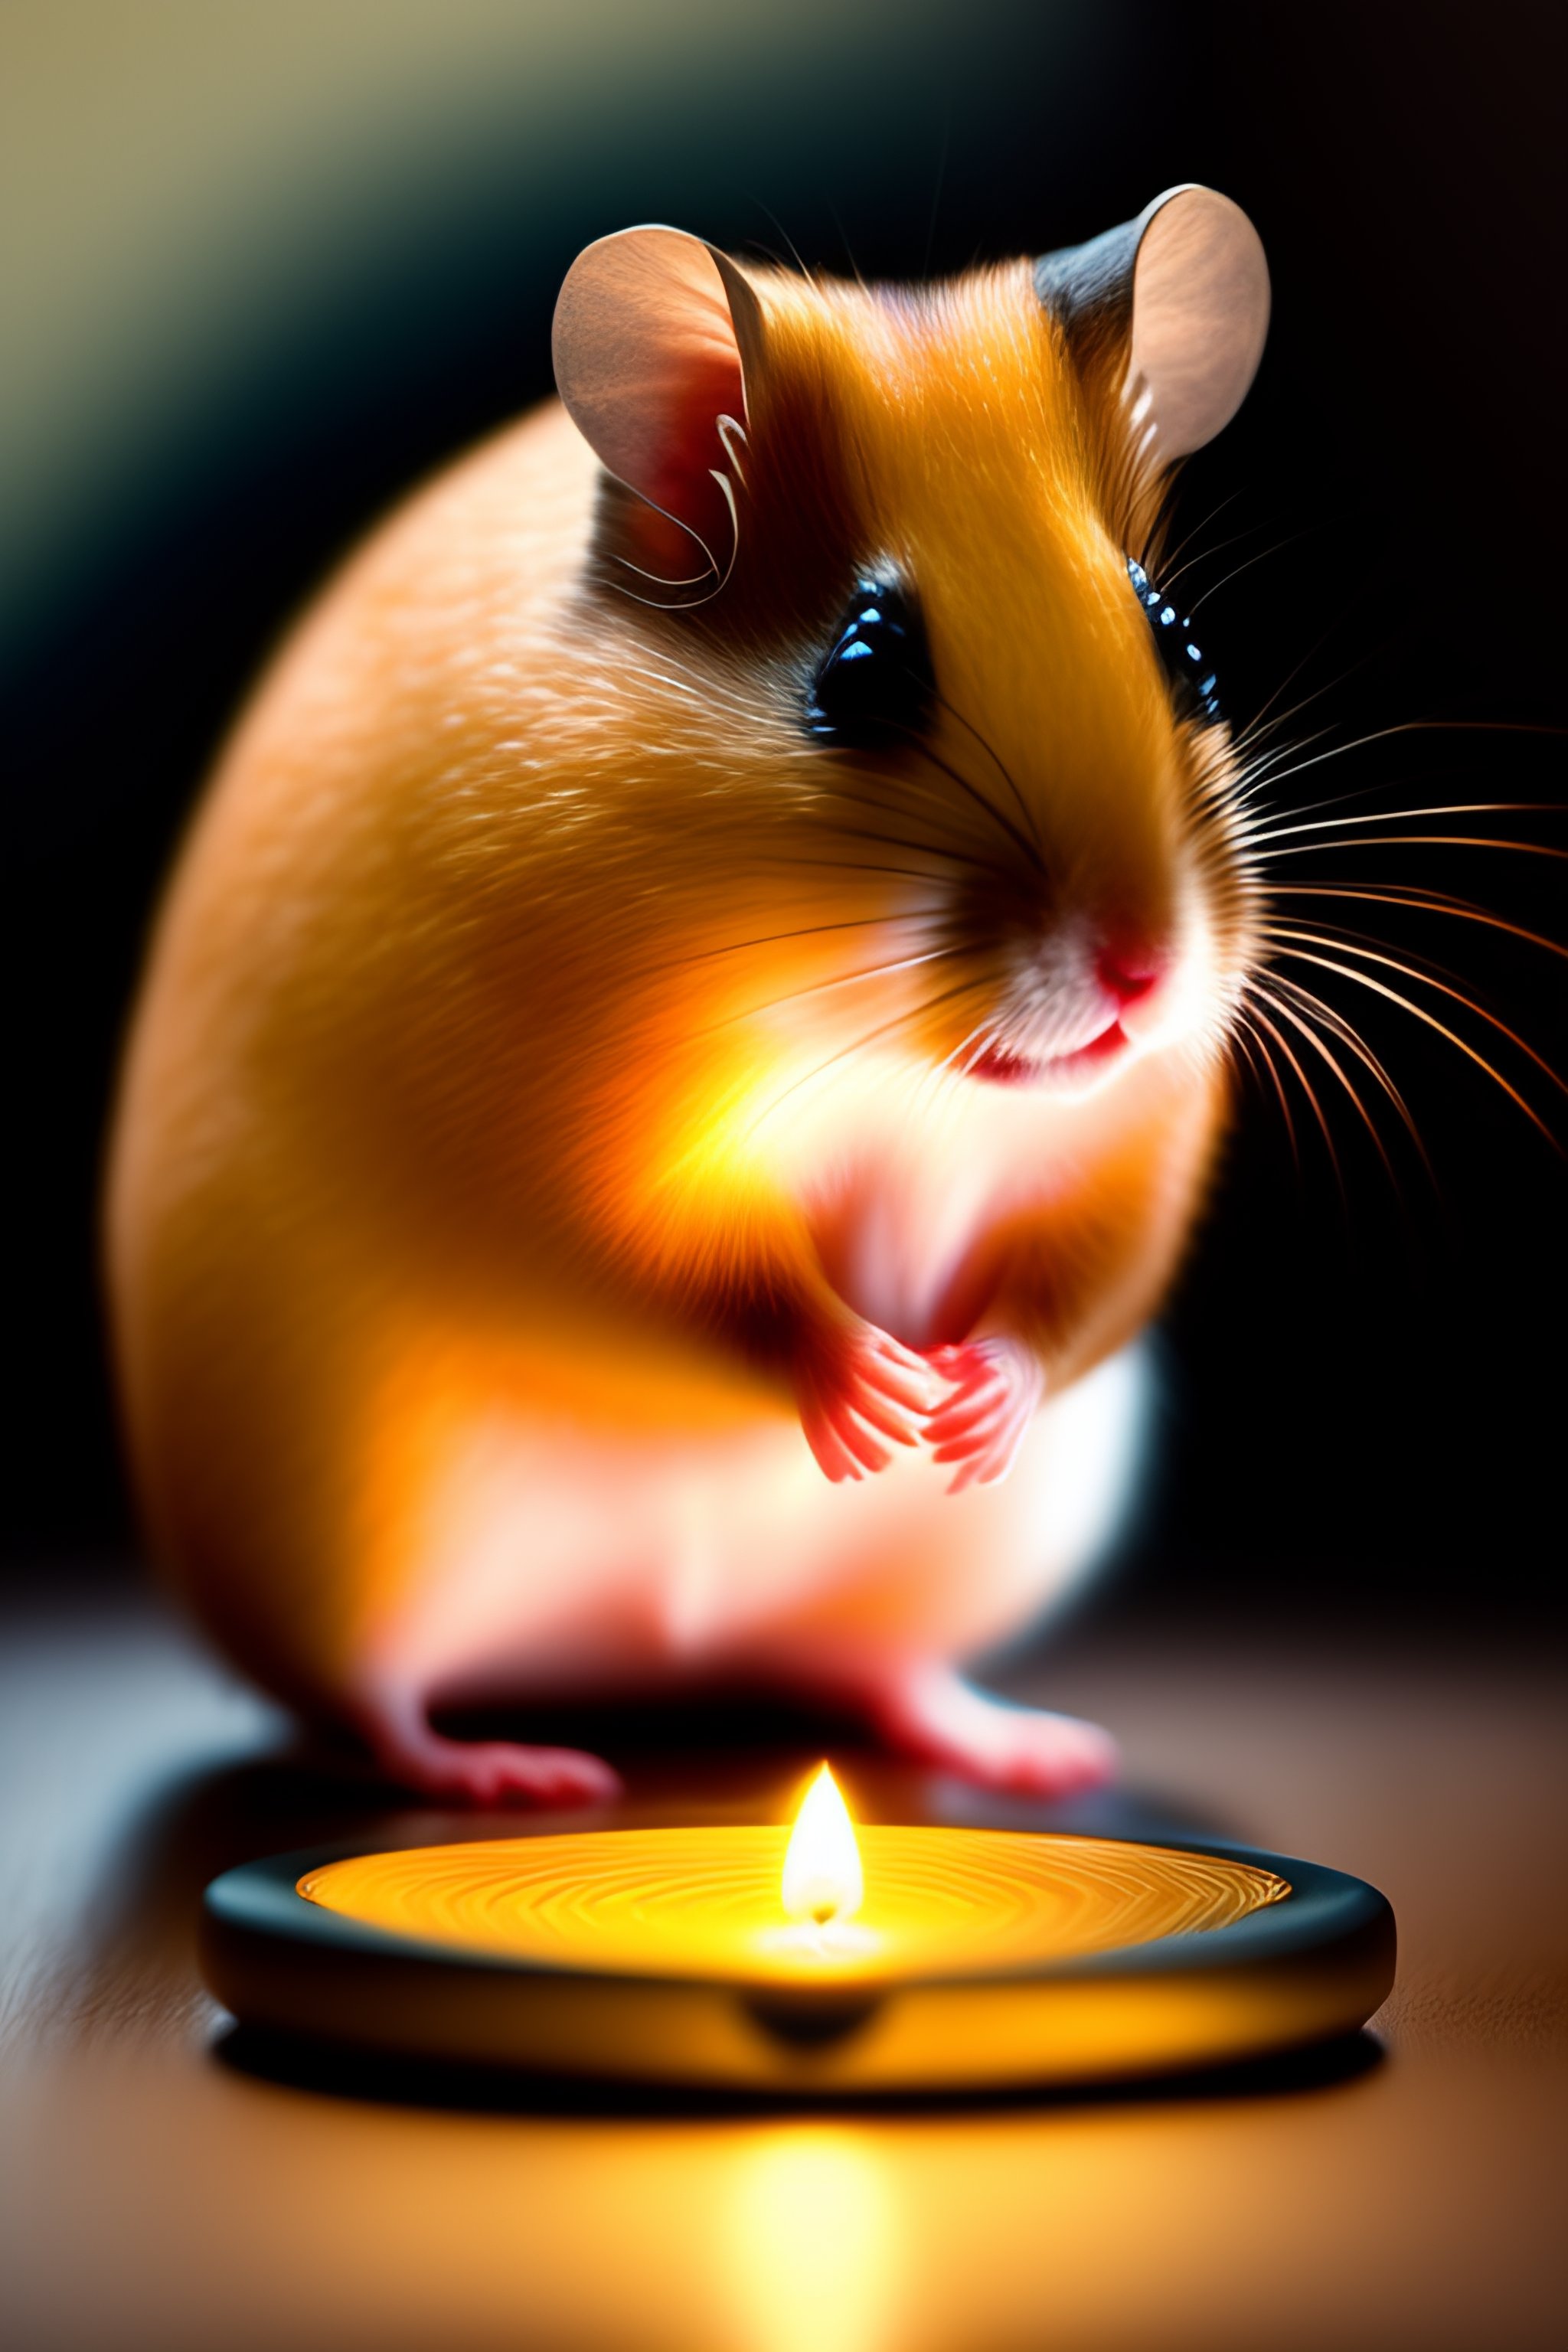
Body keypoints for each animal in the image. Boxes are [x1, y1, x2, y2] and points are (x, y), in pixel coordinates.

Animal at [106, 186, 1270, 1803]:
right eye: (863, 668)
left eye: (1184, 650)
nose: (1142, 968)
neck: (862, 1048)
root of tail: (637, 1660)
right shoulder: (552, 1159)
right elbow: (701, 1285)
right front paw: (876, 1401)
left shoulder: (1127, 1149)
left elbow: (1073, 1289)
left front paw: (959, 1413)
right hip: (334, 1515)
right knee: (363, 1703)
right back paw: (516, 1773)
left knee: (867, 1667)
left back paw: (1030, 1748)